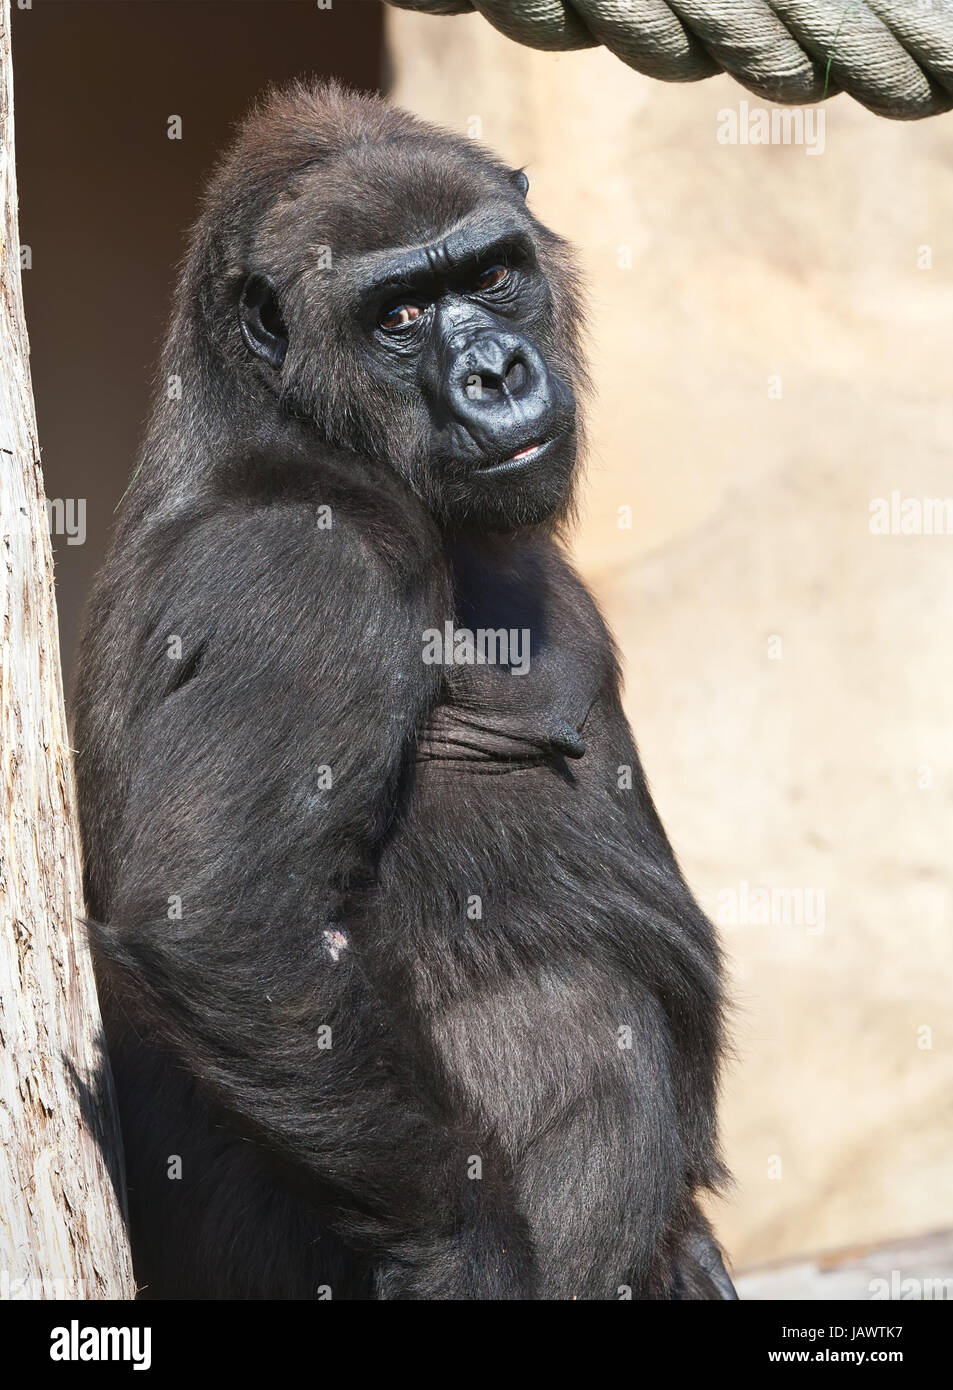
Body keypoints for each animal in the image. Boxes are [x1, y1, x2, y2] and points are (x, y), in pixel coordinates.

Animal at [71, 79, 736, 1300]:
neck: (292, 422)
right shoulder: (299, 569)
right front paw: (466, 1251)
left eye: (489, 275)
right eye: (399, 313)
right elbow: (226, 925)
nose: (497, 374)